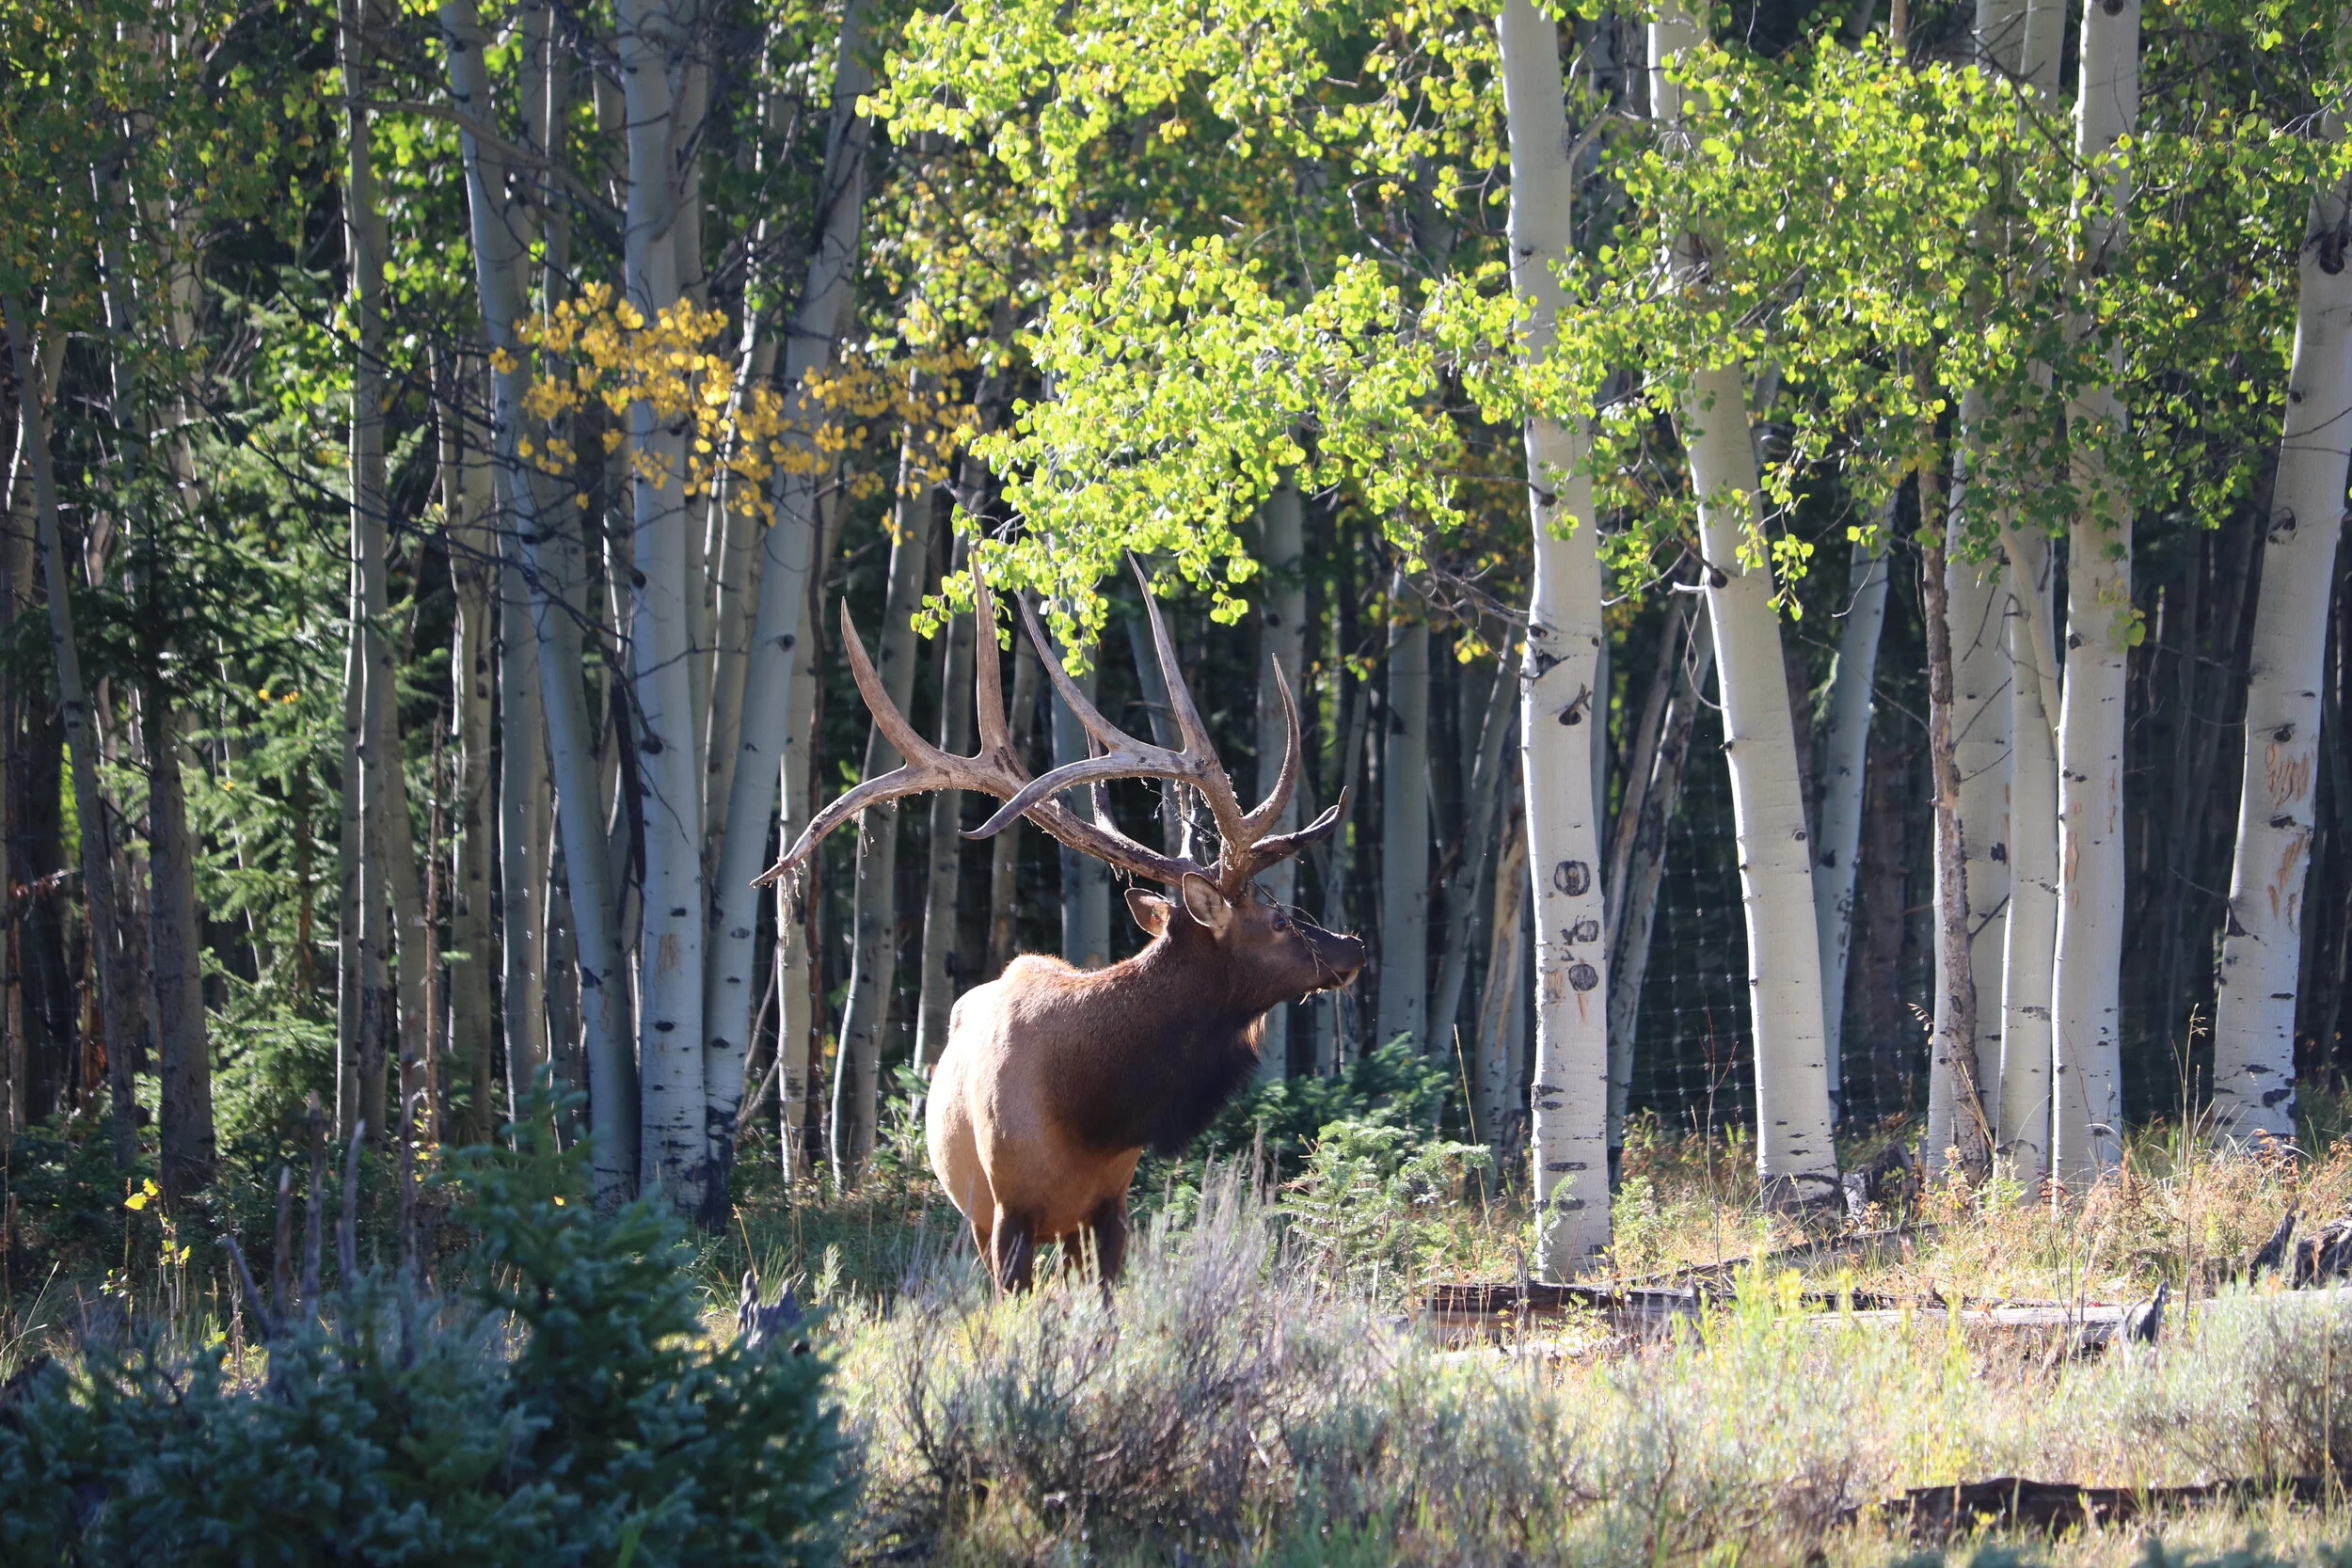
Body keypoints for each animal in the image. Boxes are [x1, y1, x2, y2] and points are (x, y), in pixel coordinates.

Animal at [756, 561, 1364, 1291]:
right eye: (1275, 919)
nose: (1353, 944)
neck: (1089, 1108)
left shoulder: (1111, 1203)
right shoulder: (1007, 1212)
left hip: (1065, 1228)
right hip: (976, 1213)